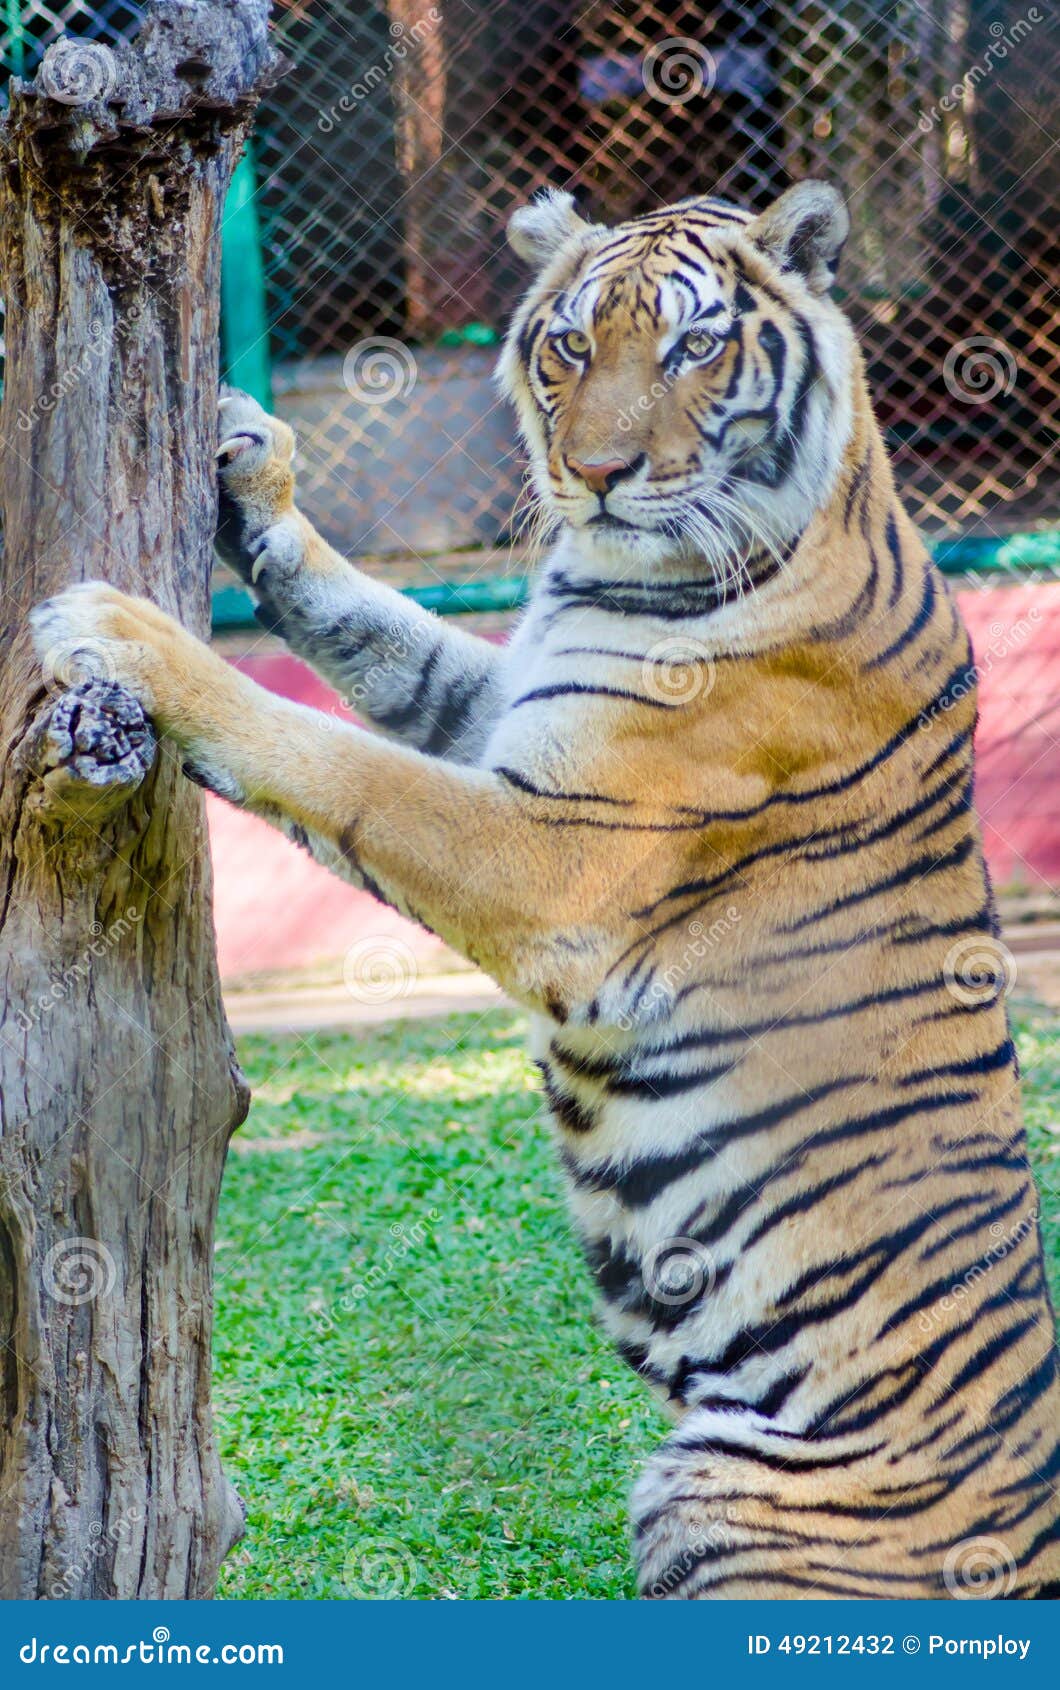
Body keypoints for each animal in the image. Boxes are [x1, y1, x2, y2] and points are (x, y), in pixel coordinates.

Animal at [30, 179, 1060, 1599]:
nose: (597, 473)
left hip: (715, 1484)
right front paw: (250, 469)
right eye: (570, 344)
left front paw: (124, 635)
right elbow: (375, 632)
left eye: (693, 348)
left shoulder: (551, 852)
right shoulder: (500, 709)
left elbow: (332, 759)